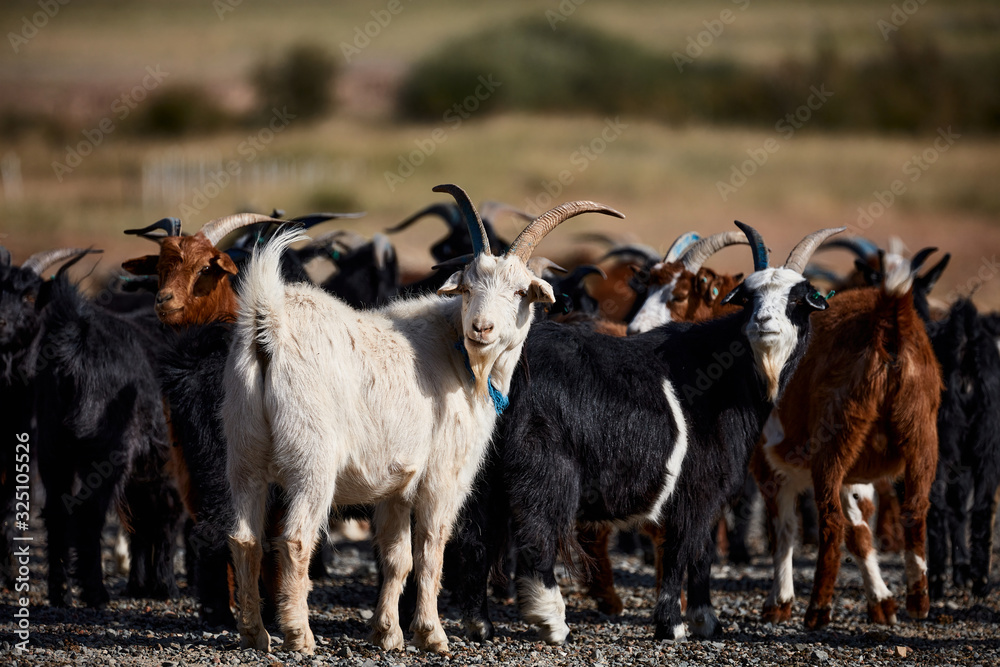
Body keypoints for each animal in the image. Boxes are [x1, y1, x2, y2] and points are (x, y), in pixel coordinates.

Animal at [221, 184, 623, 655]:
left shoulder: (394, 486)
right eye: (468, 287)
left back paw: (254, 631)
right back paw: (299, 634)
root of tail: (270, 324)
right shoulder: (442, 477)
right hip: (311, 461)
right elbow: (431, 551)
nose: (481, 329)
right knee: (296, 538)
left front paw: (387, 634)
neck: (457, 356)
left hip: (244, 450)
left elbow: (396, 559)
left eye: (520, 292)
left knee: (244, 538)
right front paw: (432, 634)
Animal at [453, 223, 843, 644]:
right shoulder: (698, 486)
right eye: (749, 298)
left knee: (476, 537)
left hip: (483, 472)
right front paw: (672, 625)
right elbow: (680, 550)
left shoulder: (706, 493)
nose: (763, 323)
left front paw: (706, 621)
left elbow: (701, 551)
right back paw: (552, 623)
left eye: (800, 299)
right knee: (537, 533)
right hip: (545, 469)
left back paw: (480, 624)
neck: (725, 374)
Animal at [750, 243, 942, 630]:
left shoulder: (770, 466)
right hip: (920, 430)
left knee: (831, 522)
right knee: (915, 508)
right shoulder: (854, 477)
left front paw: (778, 603)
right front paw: (882, 603)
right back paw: (918, 601)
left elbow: (785, 529)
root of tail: (888, 316)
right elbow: (860, 529)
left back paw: (818, 610)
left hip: (834, 436)